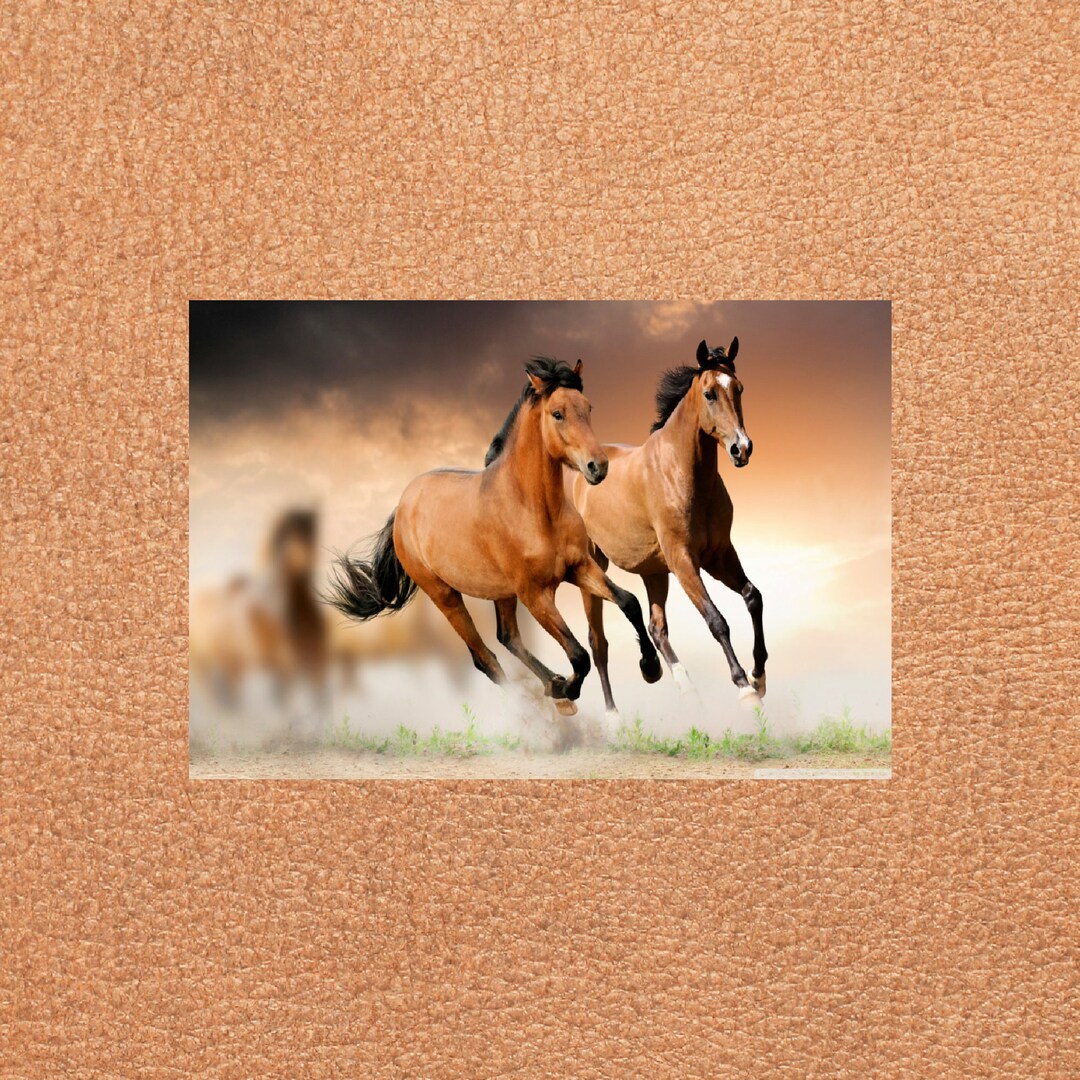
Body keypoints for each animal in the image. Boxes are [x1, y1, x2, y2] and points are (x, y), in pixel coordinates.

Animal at [325, 357, 661, 713]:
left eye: (588, 407)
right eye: (557, 413)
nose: (598, 466)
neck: (535, 511)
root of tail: (403, 507)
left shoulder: (579, 567)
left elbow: (629, 602)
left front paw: (650, 667)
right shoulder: (535, 594)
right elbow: (579, 655)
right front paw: (567, 690)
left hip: (501, 592)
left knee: (508, 637)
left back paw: (551, 685)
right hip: (445, 596)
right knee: (485, 658)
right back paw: (543, 701)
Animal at [571, 338, 767, 725]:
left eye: (738, 388)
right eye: (709, 393)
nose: (742, 448)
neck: (682, 474)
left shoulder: (719, 555)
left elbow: (753, 597)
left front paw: (759, 676)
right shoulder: (684, 561)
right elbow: (716, 620)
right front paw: (744, 689)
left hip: (654, 572)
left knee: (656, 629)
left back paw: (681, 686)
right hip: (595, 569)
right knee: (598, 643)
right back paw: (614, 716)